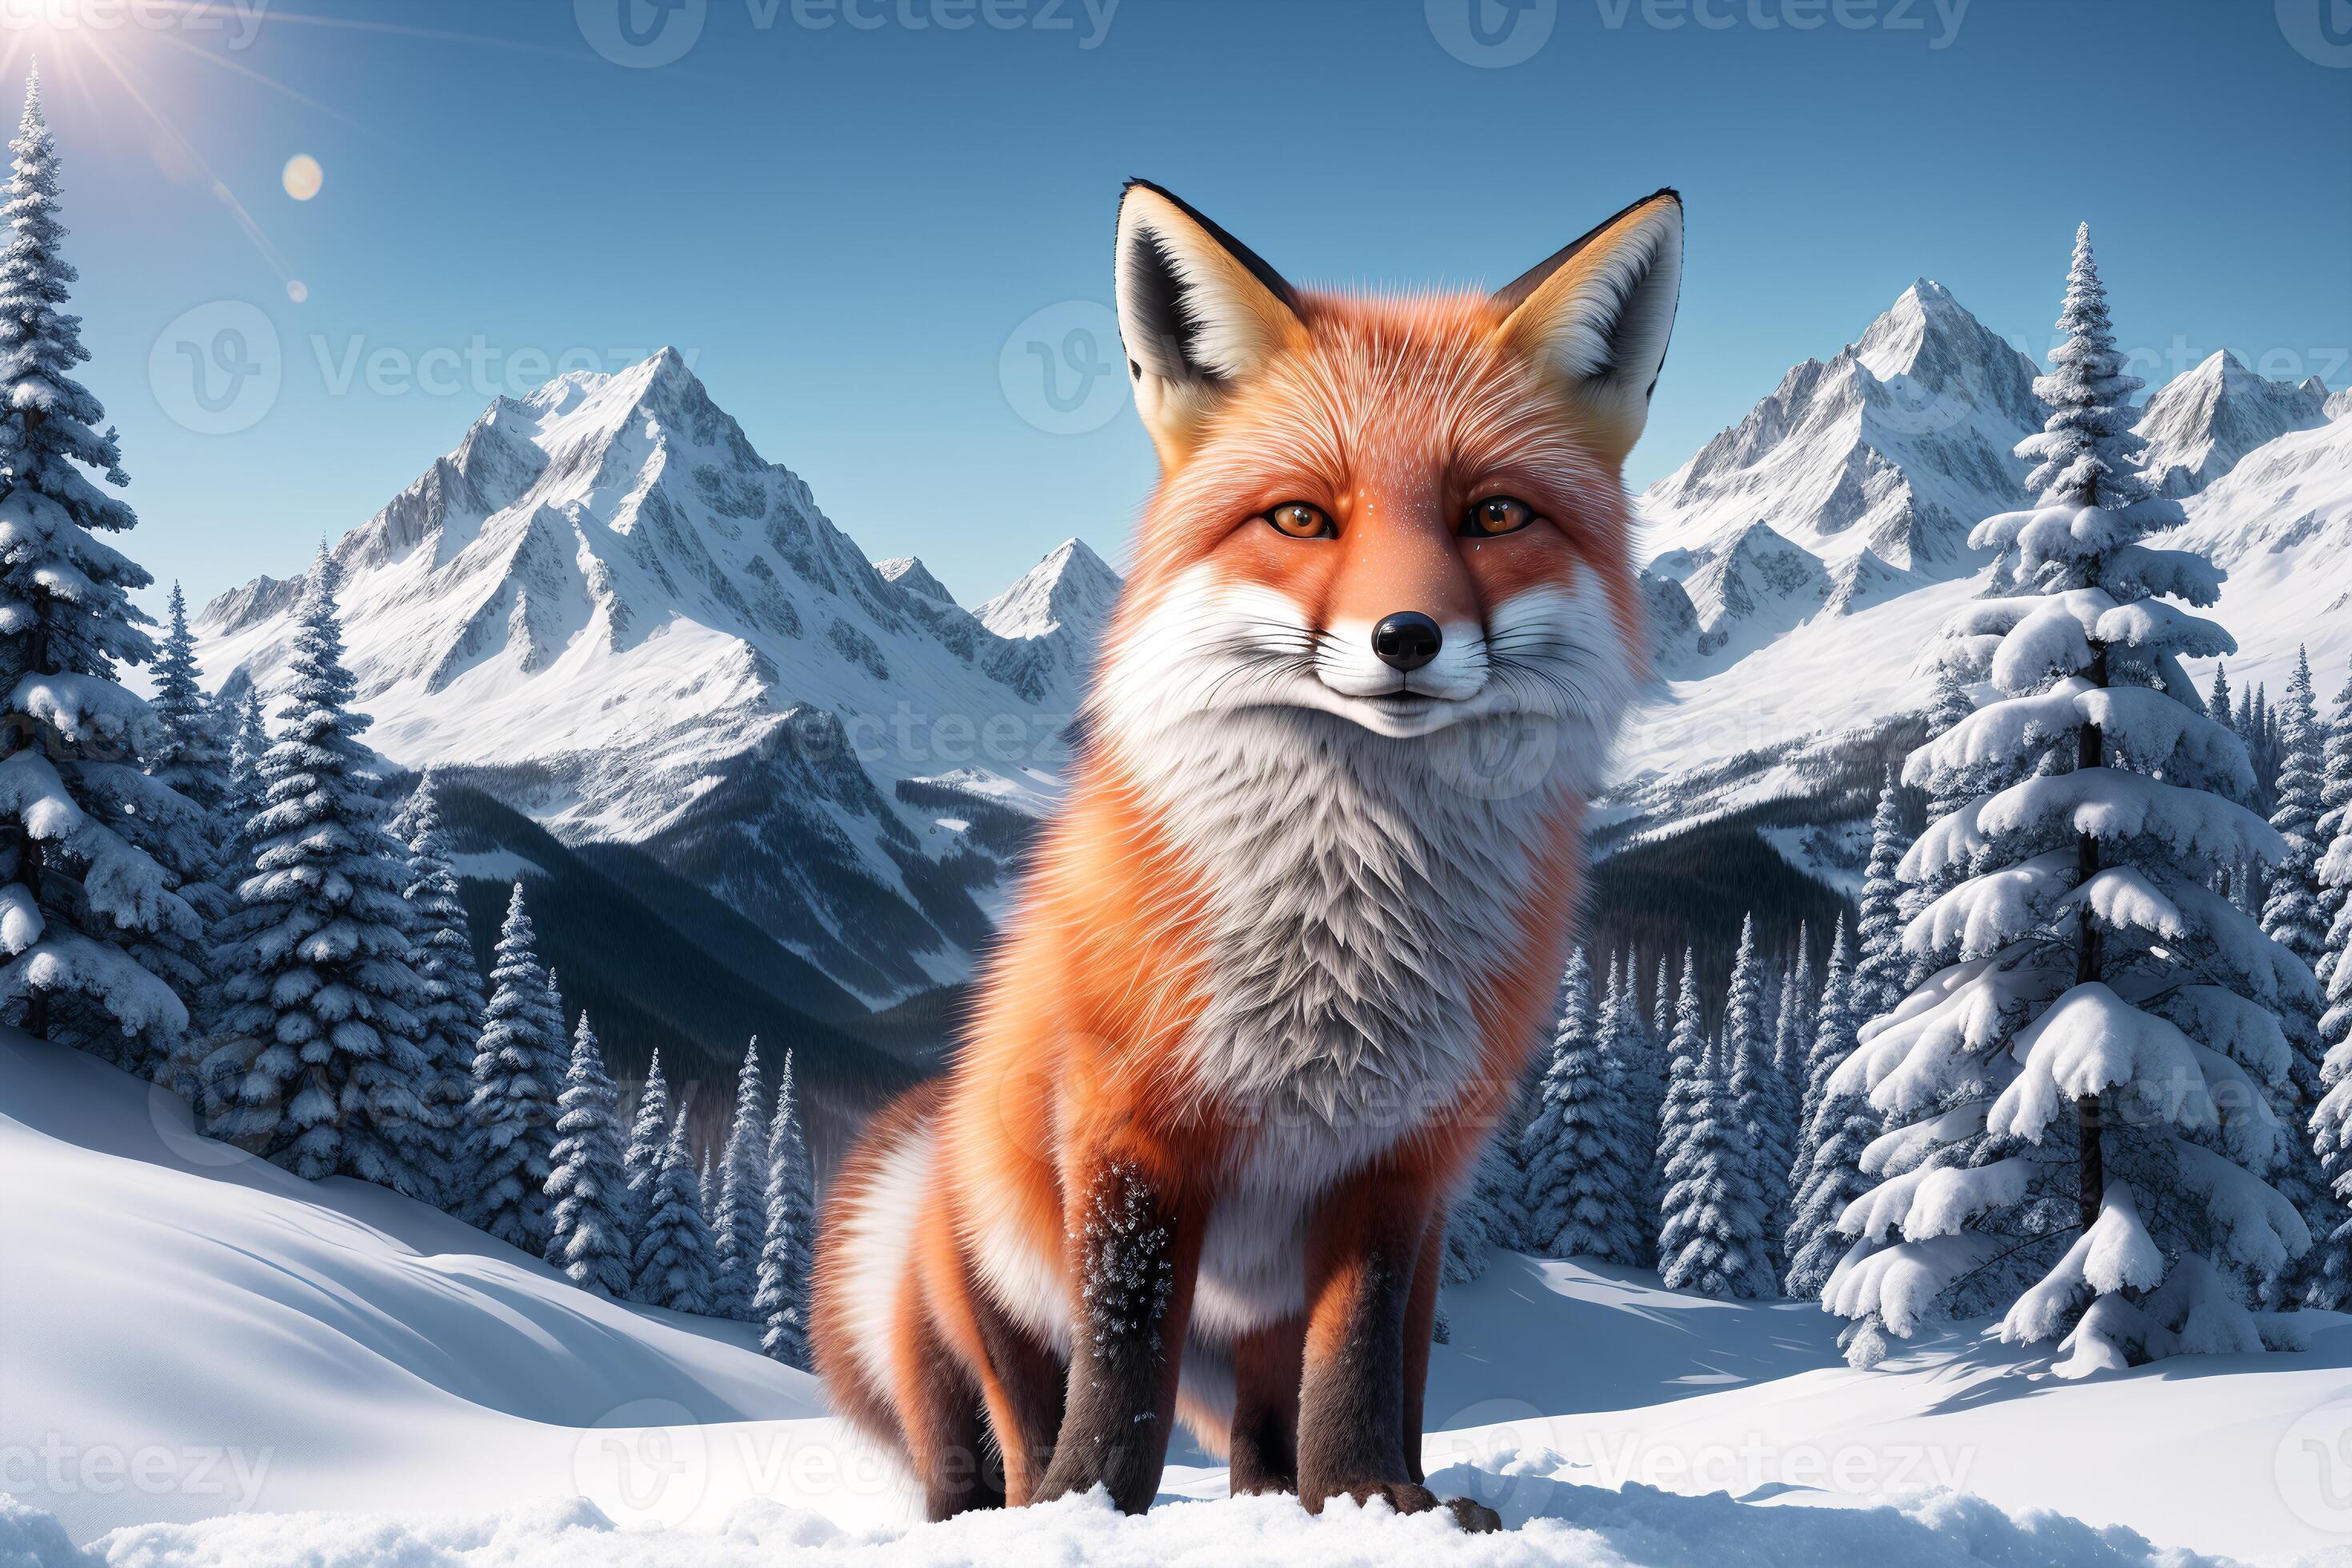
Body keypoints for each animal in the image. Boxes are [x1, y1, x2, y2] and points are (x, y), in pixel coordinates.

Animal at [810, 180, 1678, 1532]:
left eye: (1494, 515)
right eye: (1301, 518)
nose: (1406, 636)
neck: (1343, 948)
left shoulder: (1397, 1168)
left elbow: (1363, 1365)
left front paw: (1375, 1501)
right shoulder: (1135, 1133)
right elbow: (1122, 1371)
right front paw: (1092, 1512)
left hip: (1268, 1338)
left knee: (1271, 1442)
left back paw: (1317, 1496)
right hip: (994, 1322)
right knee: (1007, 1447)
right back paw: (1031, 1504)